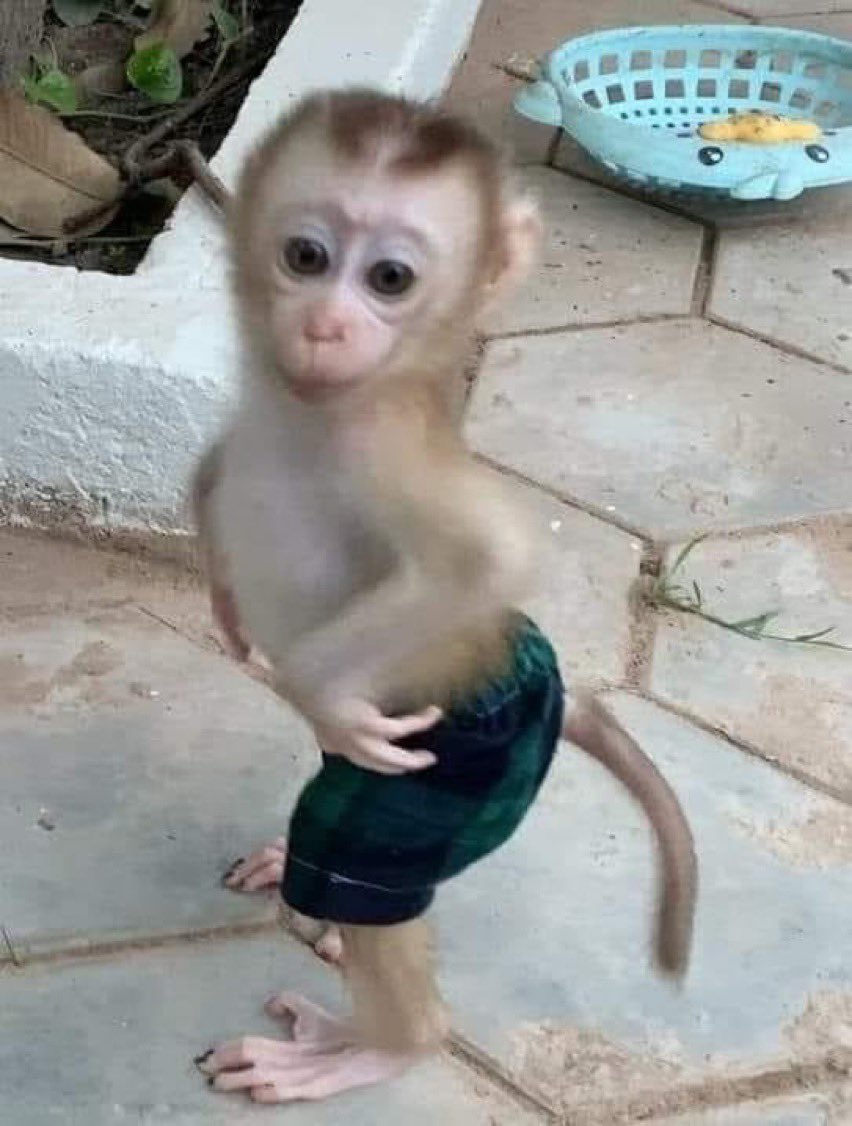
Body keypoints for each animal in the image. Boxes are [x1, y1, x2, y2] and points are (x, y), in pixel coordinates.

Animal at [188, 88, 697, 1105]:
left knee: (364, 879)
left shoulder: (386, 450)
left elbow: (487, 559)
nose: (326, 327)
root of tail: (540, 677)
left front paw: (318, 687)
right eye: (306, 257)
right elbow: (214, 470)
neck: (308, 408)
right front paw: (222, 576)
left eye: (390, 278)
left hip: (455, 771)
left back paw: (382, 1044)